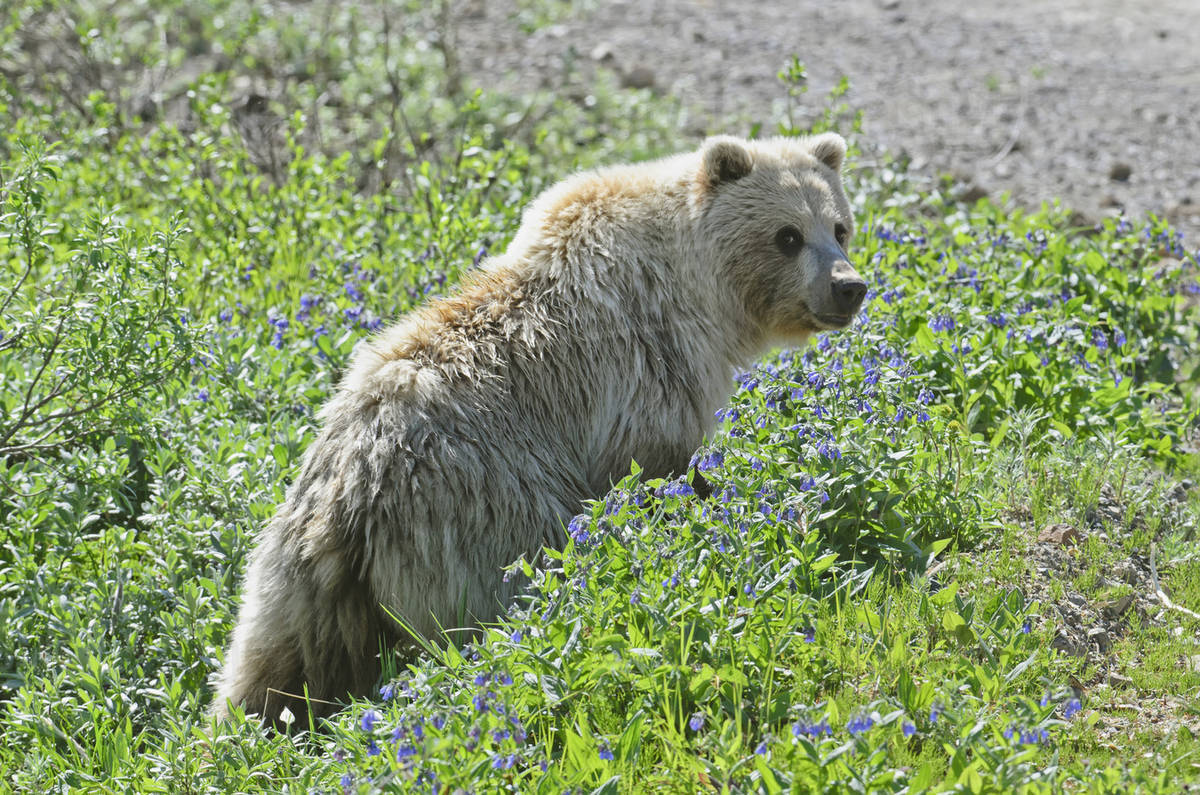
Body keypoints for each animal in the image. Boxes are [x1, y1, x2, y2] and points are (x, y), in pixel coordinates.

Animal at [210, 133, 866, 727]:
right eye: (786, 235)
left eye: (839, 227)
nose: (849, 287)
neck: (696, 288)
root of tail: (353, 488)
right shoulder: (641, 377)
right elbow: (655, 472)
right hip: (483, 512)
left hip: (295, 576)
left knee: (271, 663)